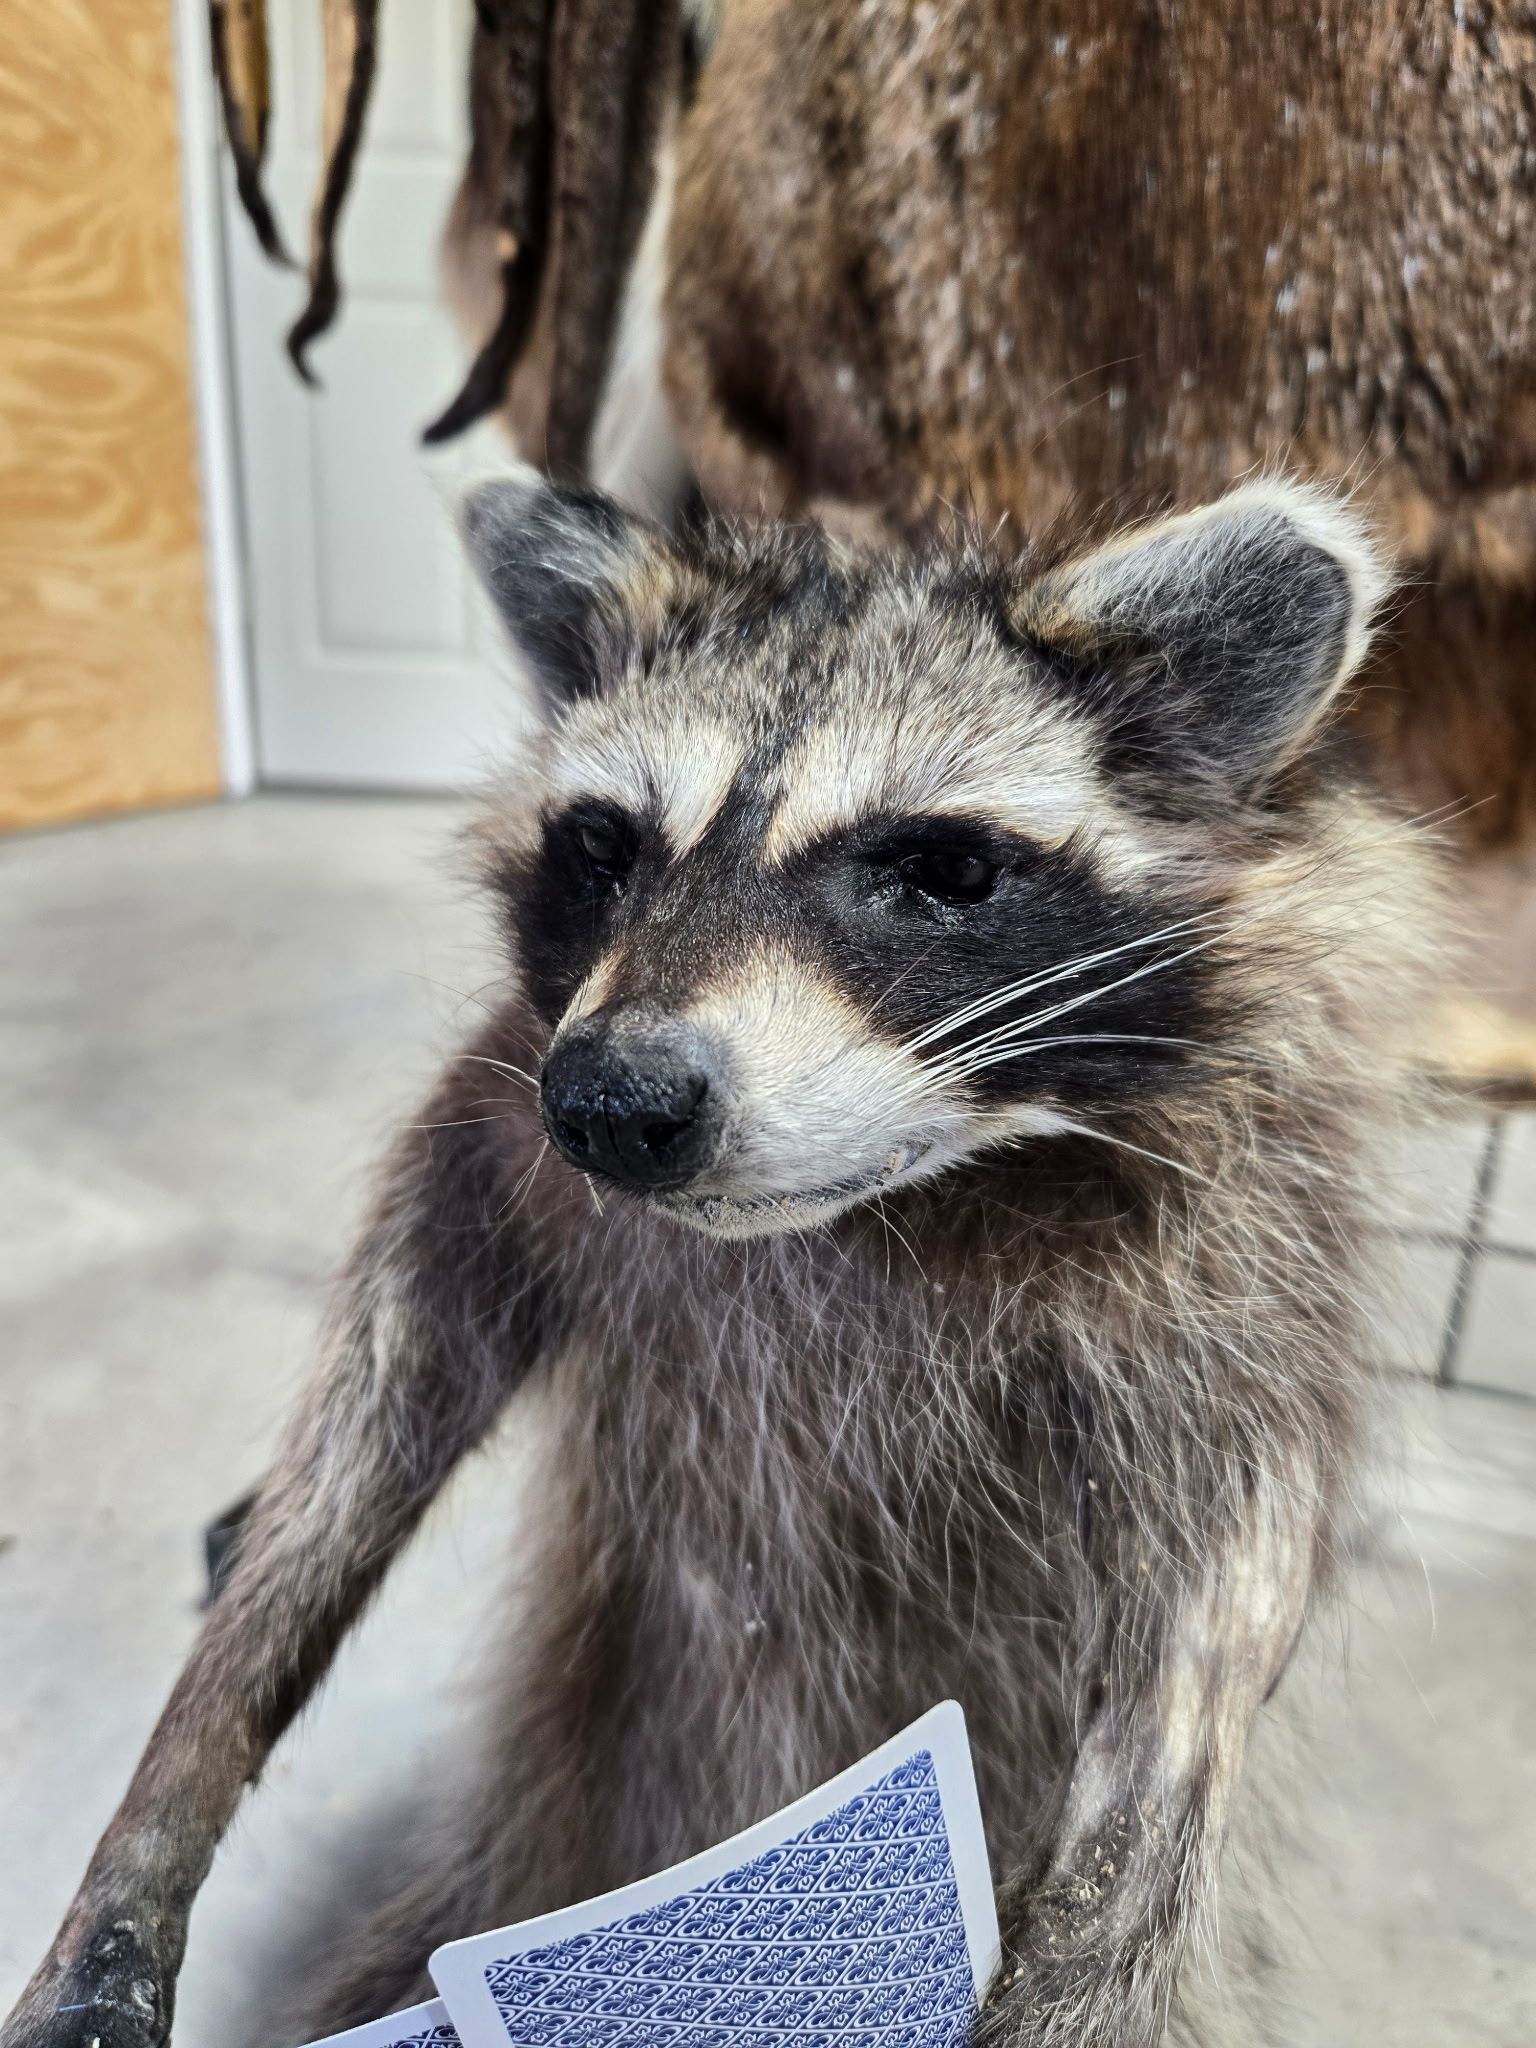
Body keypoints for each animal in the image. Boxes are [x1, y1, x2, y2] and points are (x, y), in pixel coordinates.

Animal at [2, 476, 1437, 2048]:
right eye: (605, 845)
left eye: (942, 868)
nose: (615, 1105)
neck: (868, 1204)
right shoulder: (508, 1112)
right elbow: (392, 1370)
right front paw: (181, 1767)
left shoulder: (1234, 1248)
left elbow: (1222, 1570)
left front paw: (1112, 1891)